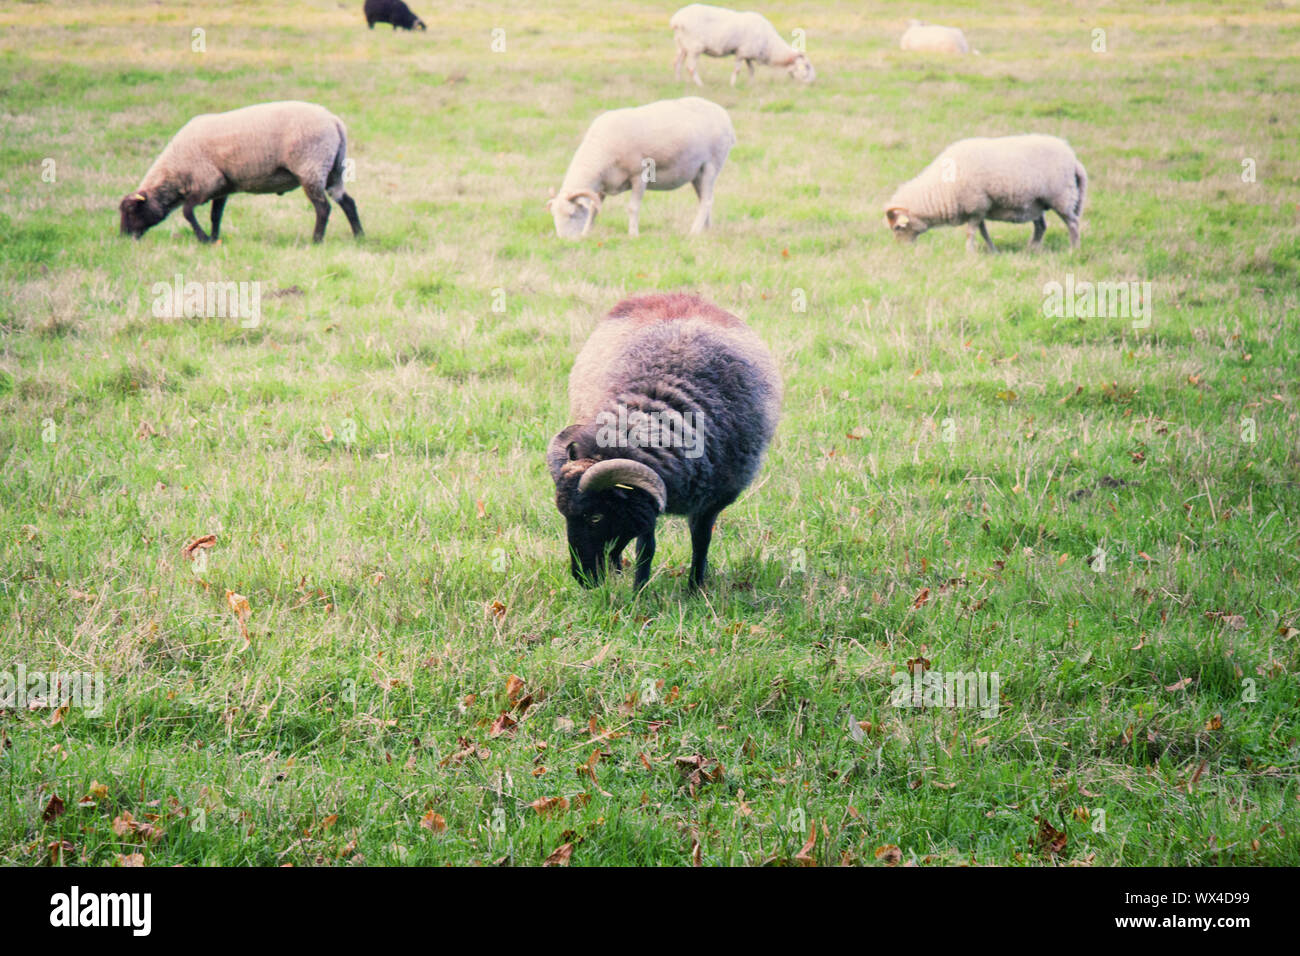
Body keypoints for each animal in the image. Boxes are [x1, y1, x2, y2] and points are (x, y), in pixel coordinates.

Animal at [118, 101, 363, 244]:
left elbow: (187, 211)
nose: (123, 238)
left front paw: (203, 238)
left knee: (323, 208)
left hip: (310, 168)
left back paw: (316, 240)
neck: (174, 171)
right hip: (333, 171)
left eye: (130, 211)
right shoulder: (221, 187)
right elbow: (215, 215)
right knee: (347, 202)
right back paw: (359, 235)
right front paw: (214, 238)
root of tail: (334, 121)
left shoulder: (207, 181)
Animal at [546, 292, 781, 590]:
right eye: (563, 515)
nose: (582, 579)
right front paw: (638, 590)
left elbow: (700, 540)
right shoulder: (645, 501)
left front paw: (694, 588)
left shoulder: (712, 499)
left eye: (596, 517)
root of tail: (671, 295)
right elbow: (645, 546)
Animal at [547, 97, 735, 239]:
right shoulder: (602, 184)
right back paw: (706, 230)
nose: (565, 241)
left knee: (707, 200)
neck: (599, 151)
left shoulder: (639, 175)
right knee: (704, 198)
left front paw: (633, 235)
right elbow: (594, 209)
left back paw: (694, 232)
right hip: (697, 173)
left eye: (572, 214)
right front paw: (587, 233)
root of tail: (723, 114)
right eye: (554, 216)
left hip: (711, 165)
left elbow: (632, 207)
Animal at [670, 4, 815, 87]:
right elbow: (737, 70)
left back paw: (678, 82)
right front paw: (732, 85)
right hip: (694, 47)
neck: (770, 46)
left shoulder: (748, 55)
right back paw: (700, 85)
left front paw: (751, 84)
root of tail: (677, 19)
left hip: (681, 45)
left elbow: (751, 70)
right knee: (691, 67)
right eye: (807, 66)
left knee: (677, 63)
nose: (812, 82)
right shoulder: (741, 52)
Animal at [885, 134, 1087, 252]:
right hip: (1036, 203)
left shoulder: (976, 206)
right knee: (1041, 227)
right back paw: (1031, 250)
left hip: (1061, 197)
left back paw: (1074, 250)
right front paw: (992, 251)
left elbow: (971, 233)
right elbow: (983, 232)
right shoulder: (979, 209)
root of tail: (1073, 159)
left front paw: (969, 252)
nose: (901, 250)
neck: (941, 188)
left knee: (1073, 223)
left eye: (897, 228)